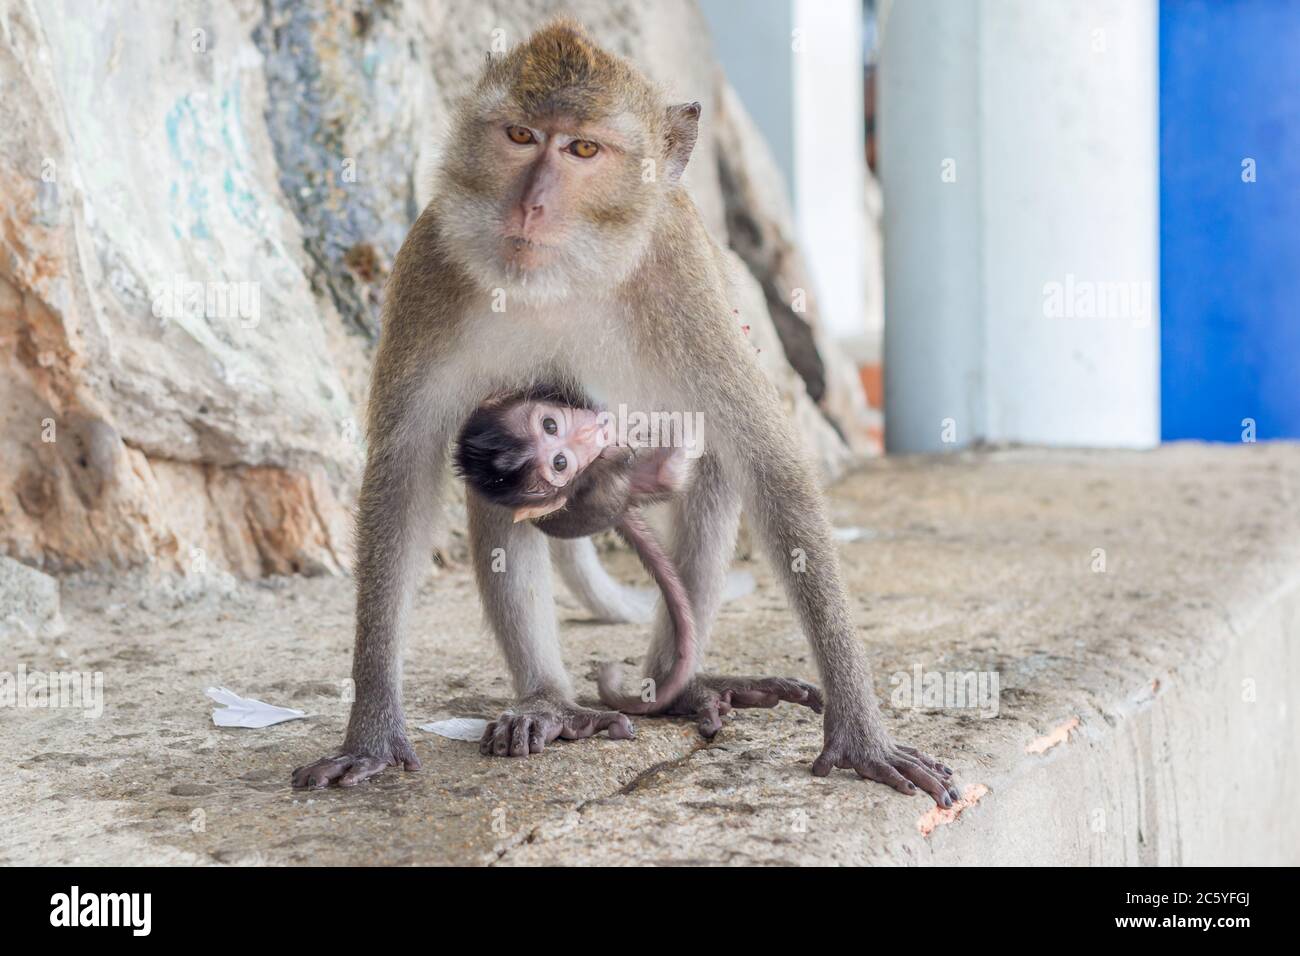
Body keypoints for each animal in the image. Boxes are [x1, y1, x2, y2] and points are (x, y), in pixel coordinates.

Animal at [452, 383, 696, 717]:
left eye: (550, 425)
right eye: (560, 463)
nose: (589, 432)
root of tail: (618, 513)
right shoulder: (598, 476)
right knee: (662, 477)